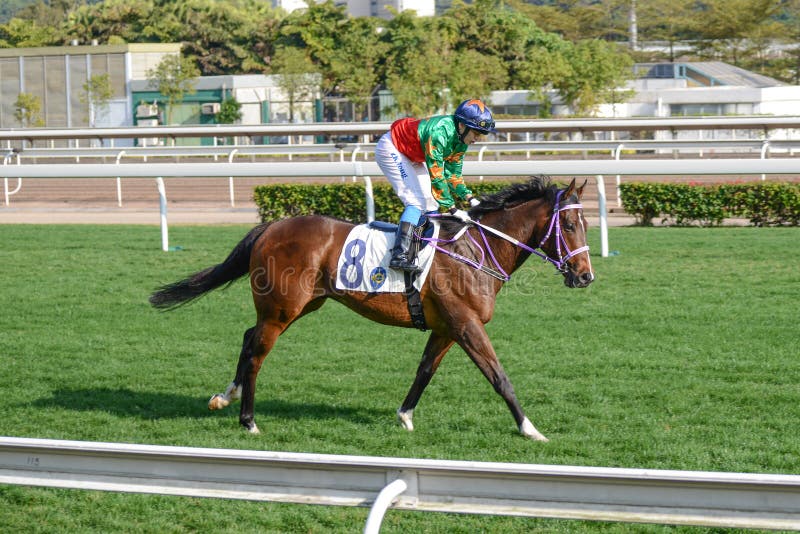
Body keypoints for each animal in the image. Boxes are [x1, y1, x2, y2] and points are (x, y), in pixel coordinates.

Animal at [149, 176, 594, 441]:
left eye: (586, 224)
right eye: (570, 226)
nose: (585, 276)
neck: (477, 249)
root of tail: (271, 226)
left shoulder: (445, 327)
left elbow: (425, 370)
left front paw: (405, 415)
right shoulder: (466, 323)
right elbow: (499, 376)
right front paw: (530, 428)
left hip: (298, 306)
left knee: (247, 337)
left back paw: (225, 396)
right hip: (282, 309)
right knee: (258, 352)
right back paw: (248, 420)